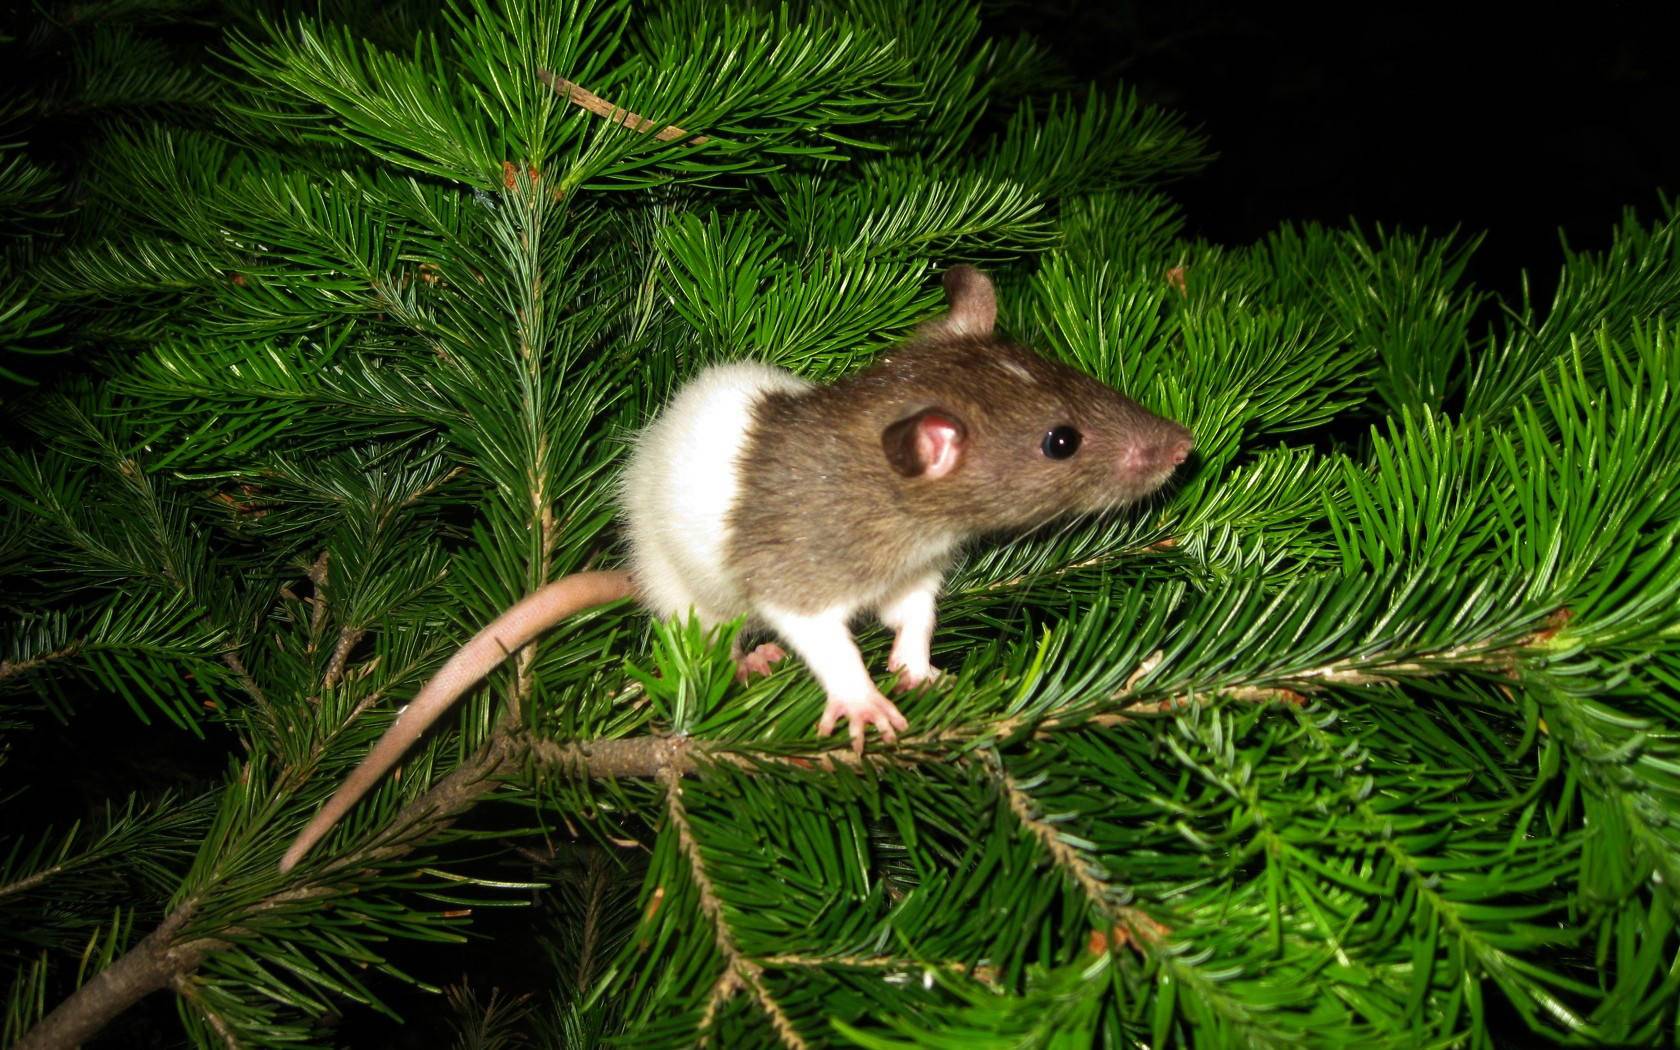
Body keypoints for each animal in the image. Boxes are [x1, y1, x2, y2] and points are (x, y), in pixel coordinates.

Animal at [279, 266, 1191, 873]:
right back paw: (744, 661)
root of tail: (640, 573)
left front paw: (920, 669)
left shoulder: (915, 573)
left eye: (1075, 377)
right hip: (694, 601)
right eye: (1061, 440)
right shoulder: (803, 568)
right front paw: (863, 698)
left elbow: (914, 615)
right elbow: (822, 635)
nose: (1186, 448)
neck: (898, 500)